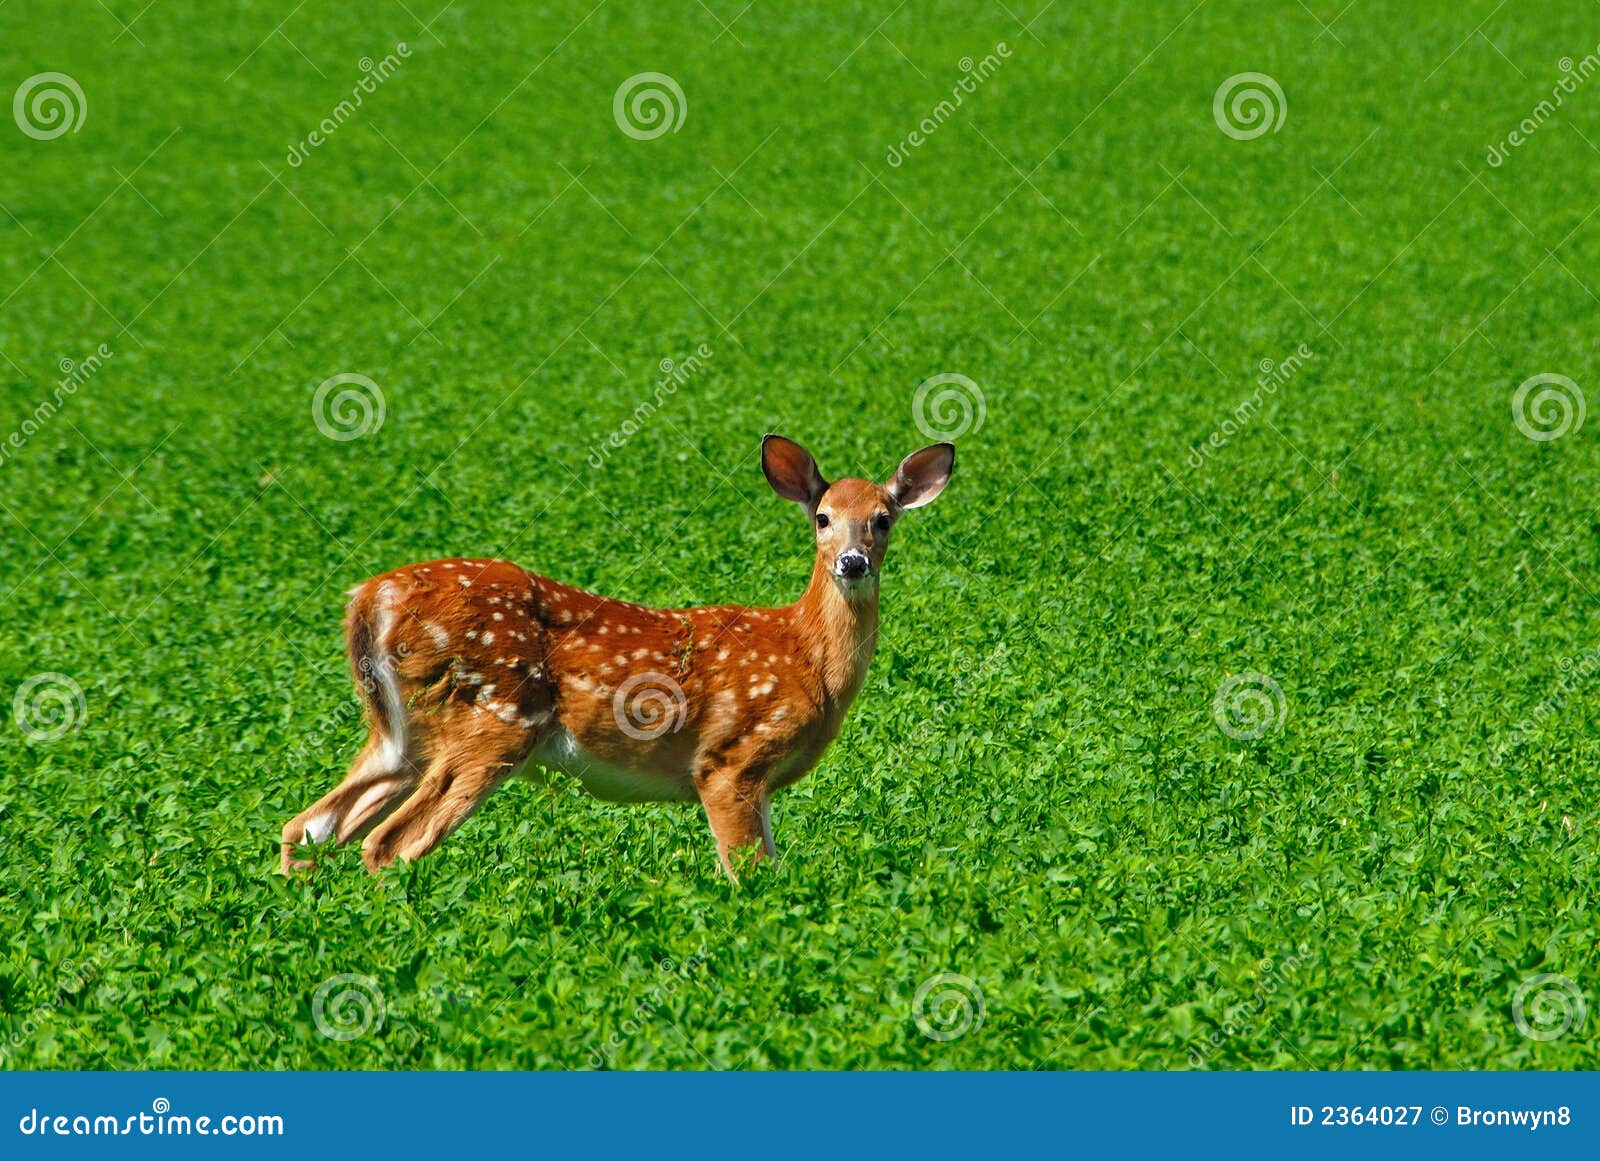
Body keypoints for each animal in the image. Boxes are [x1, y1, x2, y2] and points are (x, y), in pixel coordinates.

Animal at [279, 435, 955, 881]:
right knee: (387, 843)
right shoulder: (731, 758)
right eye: (821, 518)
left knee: (311, 825)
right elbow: (750, 873)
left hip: (402, 733)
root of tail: (369, 597)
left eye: (883, 519)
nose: (853, 562)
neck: (805, 656)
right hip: (491, 717)